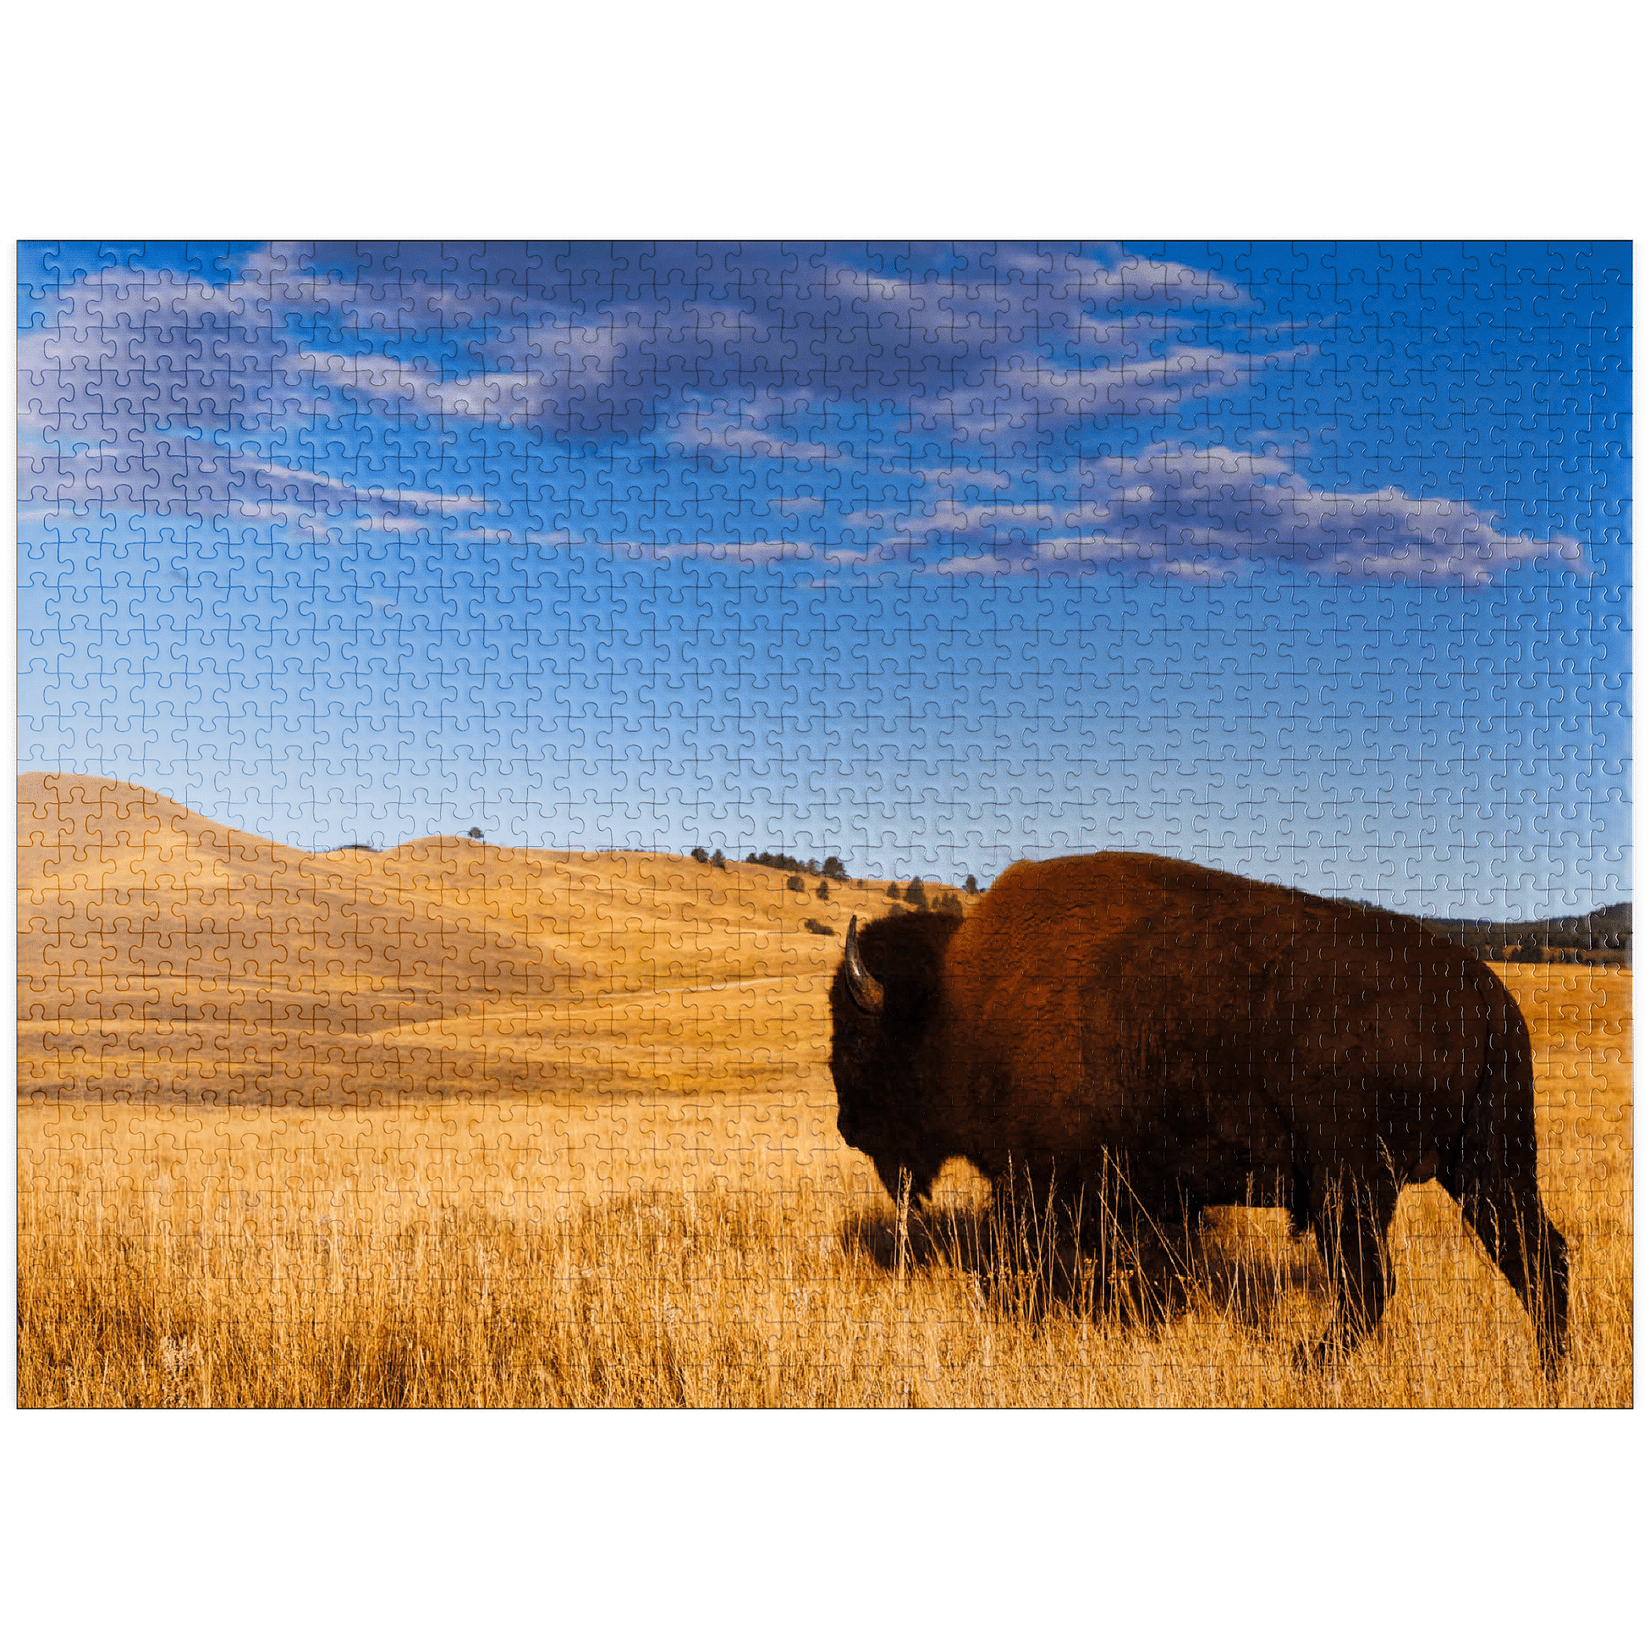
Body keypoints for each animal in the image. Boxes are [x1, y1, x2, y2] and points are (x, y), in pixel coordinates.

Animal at [829, 852, 1568, 1372]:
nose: (846, 1125)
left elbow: (1049, 1263)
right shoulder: (1146, 1196)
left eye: (860, 1038)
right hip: (1488, 1167)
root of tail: (1481, 989)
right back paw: (1553, 1370)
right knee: (1538, 1256)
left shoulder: (1046, 1186)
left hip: (1354, 1184)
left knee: (1371, 1284)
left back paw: (1307, 1363)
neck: (955, 1003)